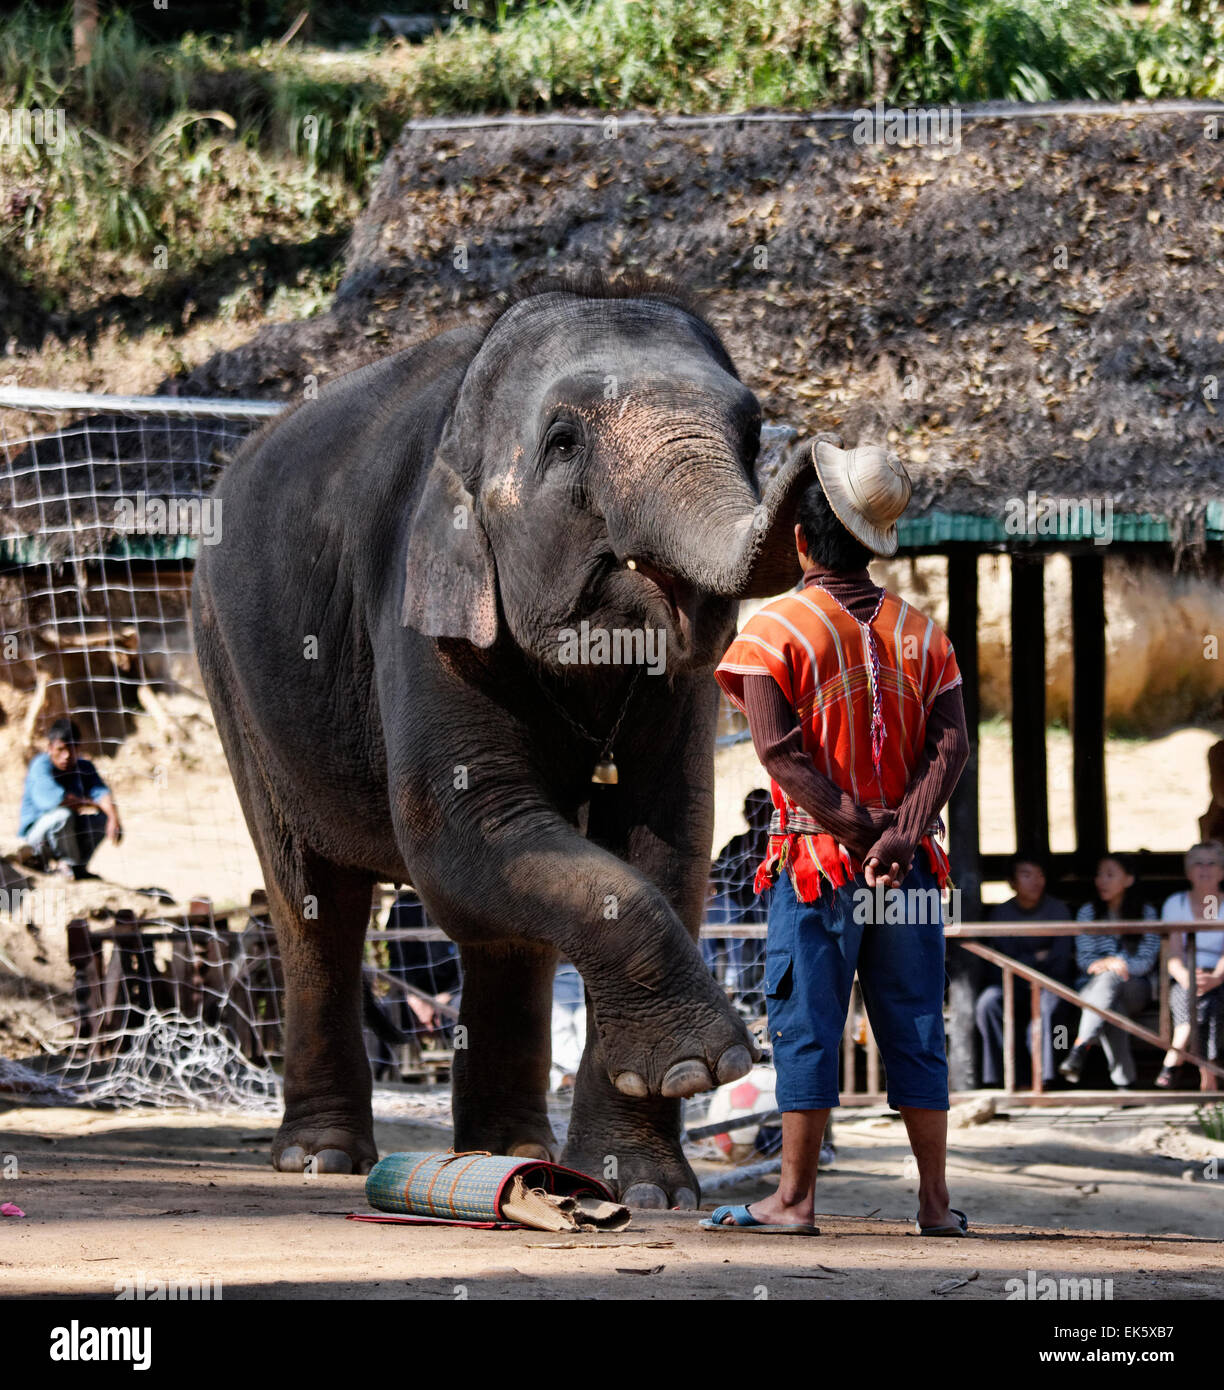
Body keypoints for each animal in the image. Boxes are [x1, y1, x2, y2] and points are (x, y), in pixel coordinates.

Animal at [191, 269, 816, 1207]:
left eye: (749, 433)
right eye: (562, 442)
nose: (825, 464)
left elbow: (666, 838)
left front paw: (647, 1189)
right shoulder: (420, 595)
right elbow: (457, 829)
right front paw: (701, 1066)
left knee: (507, 930)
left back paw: (511, 1151)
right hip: (229, 668)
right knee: (315, 907)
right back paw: (322, 1159)